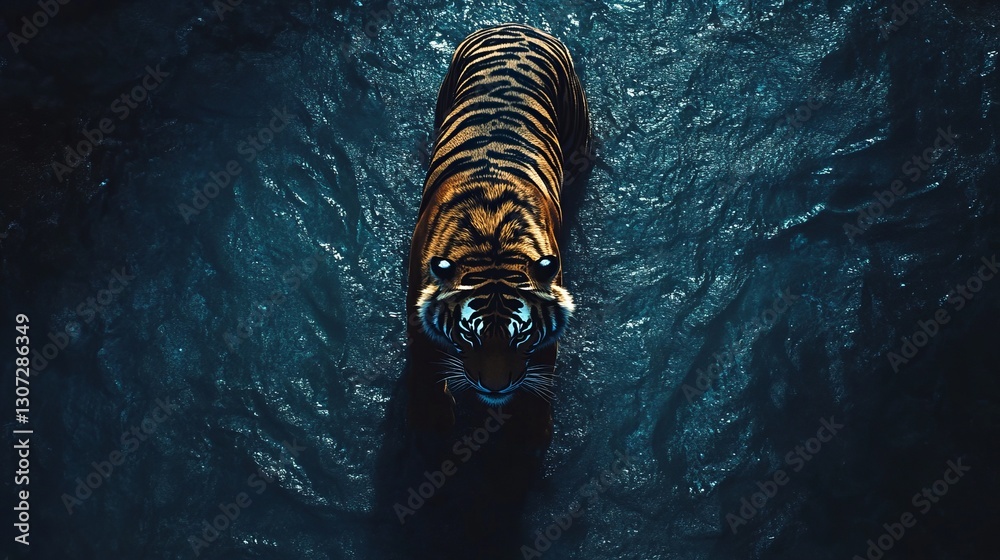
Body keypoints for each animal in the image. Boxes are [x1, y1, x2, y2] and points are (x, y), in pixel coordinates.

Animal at [405, 23, 590, 430]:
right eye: (469, 335)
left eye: (520, 335)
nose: (494, 387)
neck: (492, 244)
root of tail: (520, 25)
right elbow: (426, 373)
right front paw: (432, 424)